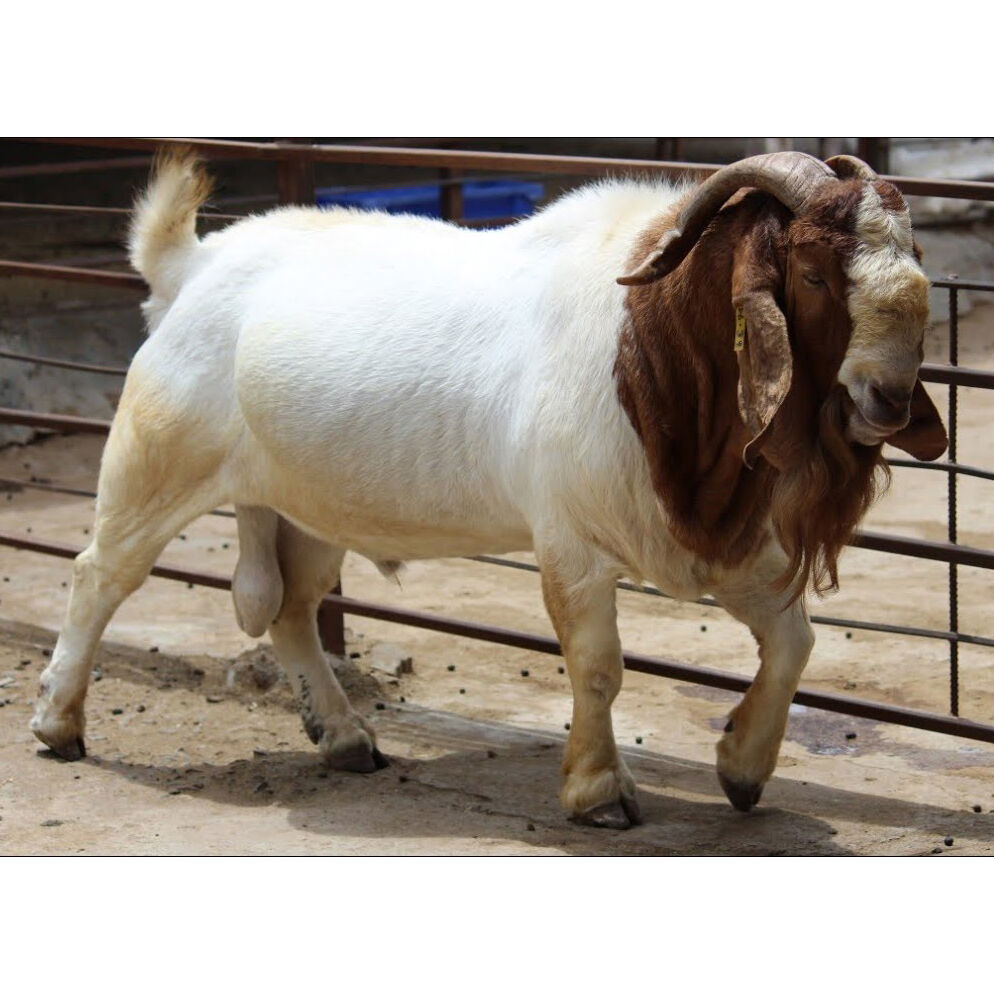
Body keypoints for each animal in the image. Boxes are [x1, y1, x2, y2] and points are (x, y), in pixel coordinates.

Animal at [31, 149, 947, 828]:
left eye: (919, 272)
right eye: (817, 275)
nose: (889, 400)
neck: (646, 343)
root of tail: (194, 263)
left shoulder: (712, 540)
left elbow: (794, 642)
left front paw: (744, 770)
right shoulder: (572, 543)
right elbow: (598, 667)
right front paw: (597, 792)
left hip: (310, 503)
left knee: (291, 610)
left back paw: (345, 738)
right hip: (157, 458)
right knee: (98, 575)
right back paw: (58, 724)